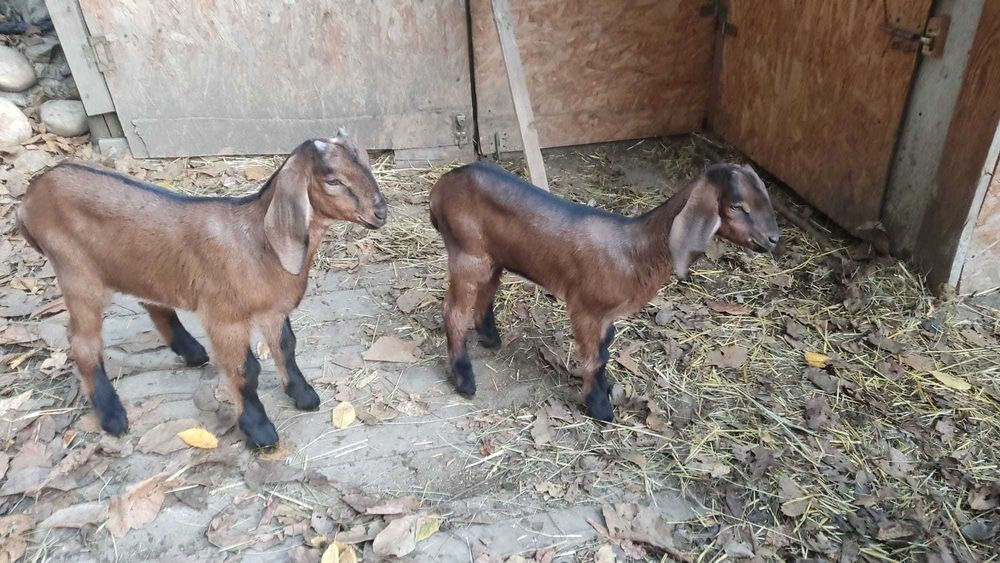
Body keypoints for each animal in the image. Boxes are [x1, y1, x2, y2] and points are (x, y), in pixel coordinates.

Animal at [16, 129, 387, 448]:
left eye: (363, 163)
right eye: (333, 180)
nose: (381, 211)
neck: (258, 241)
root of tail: (32, 194)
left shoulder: (274, 310)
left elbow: (286, 347)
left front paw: (303, 394)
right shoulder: (224, 318)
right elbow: (245, 371)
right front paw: (259, 430)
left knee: (152, 302)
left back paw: (192, 351)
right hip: (77, 274)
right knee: (83, 343)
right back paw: (112, 415)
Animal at [429, 161, 779, 421]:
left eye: (765, 198)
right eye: (737, 205)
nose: (774, 238)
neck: (634, 249)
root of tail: (440, 187)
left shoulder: (606, 317)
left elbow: (606, 349)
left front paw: (606, 391)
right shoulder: (586, 308)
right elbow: (595, 358)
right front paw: (600, 408)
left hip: (493, 257)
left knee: (485, 294)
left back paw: (491, 338)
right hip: (467, 253)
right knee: (454, 312)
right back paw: (464, 379)